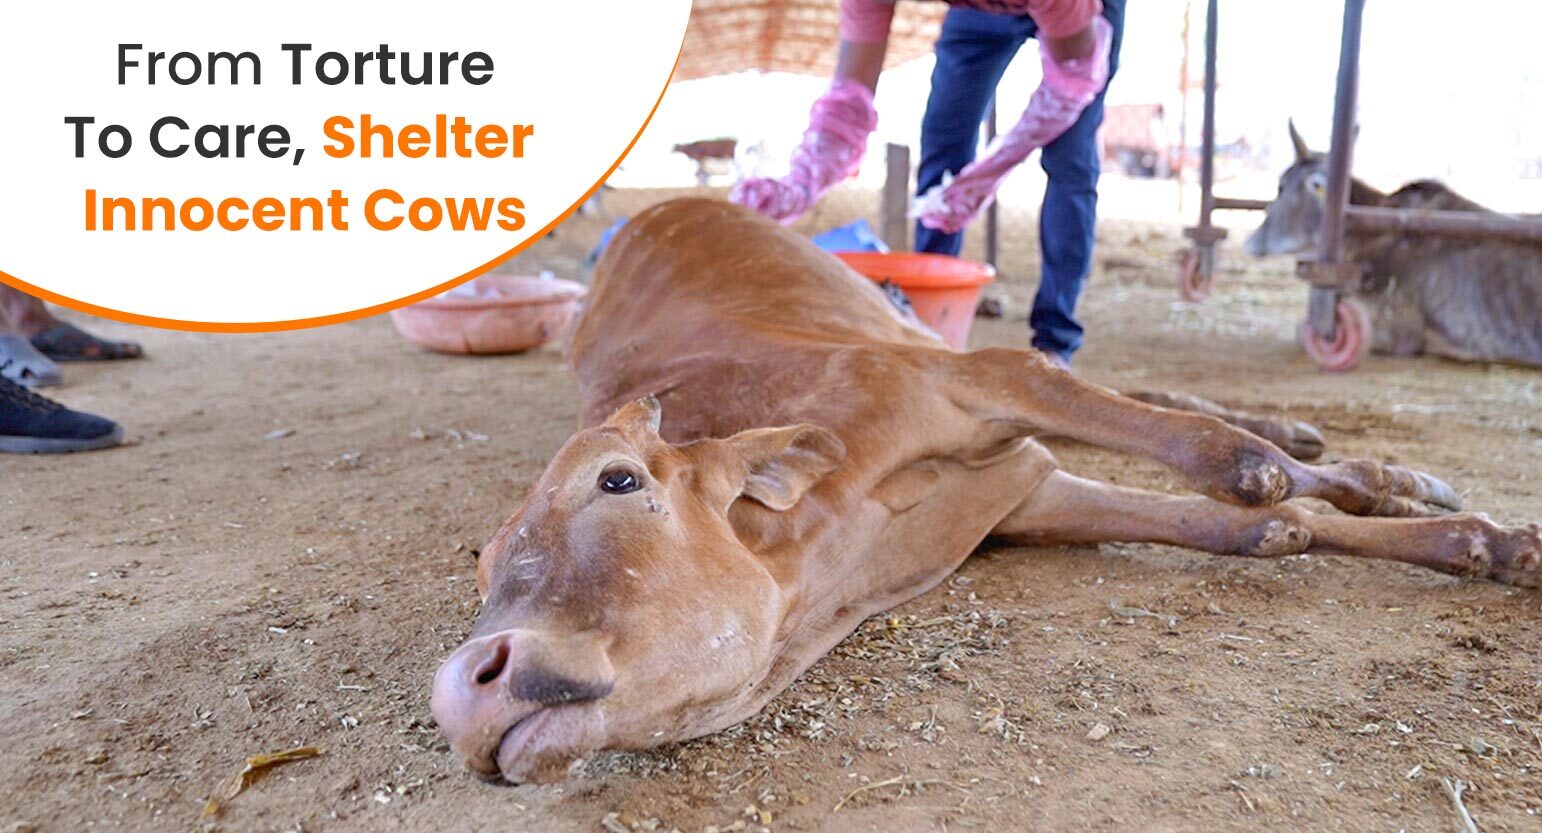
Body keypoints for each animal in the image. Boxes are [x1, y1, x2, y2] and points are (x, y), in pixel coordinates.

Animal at [430, 198, 1539, 784]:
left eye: (616, 479)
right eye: (480, 566)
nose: (461, 686)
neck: (838, 562)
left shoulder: (967, 382)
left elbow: (1210, 461)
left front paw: (1349, 487)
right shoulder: (1020, 494)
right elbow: (1241, 521)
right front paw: (1458, 535)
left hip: (897, 319)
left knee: (1122, 383)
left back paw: (1343, 453)